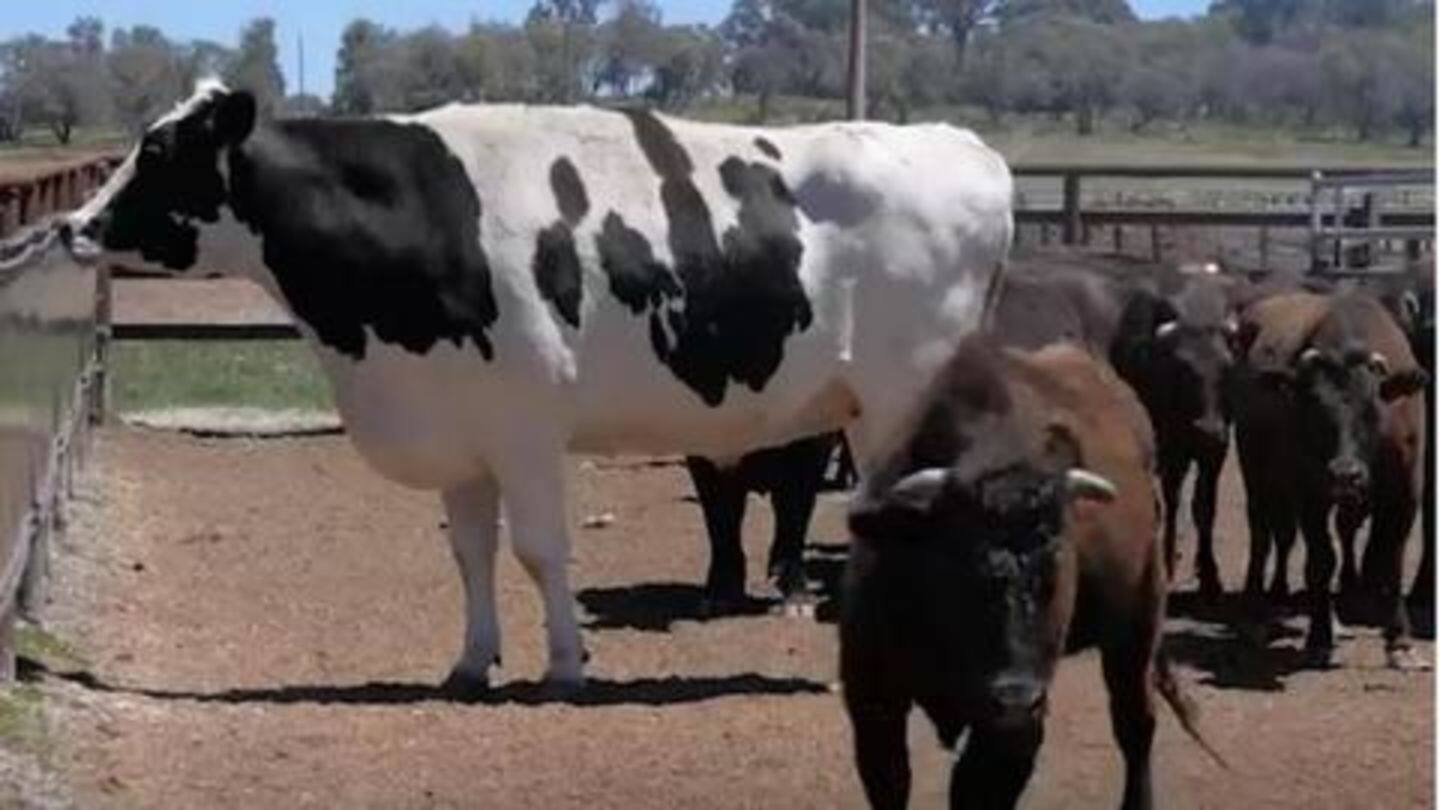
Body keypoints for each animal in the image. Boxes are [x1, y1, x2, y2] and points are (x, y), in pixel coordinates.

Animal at [58, 80, 1014, 692]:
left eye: (159, 149)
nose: (73, 225)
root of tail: (964, 147)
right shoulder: (460, 427)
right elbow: (471, 555)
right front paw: (470, 663)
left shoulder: (525, 425)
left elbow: (540, 552)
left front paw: (562, 667)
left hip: (899, 401)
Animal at [841, 336, 1220, 810]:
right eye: (960, 569)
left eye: (1055, 574)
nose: (1016, 699)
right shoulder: (872, 699)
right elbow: (890, 780)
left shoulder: (1013, 732)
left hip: (1137, 623)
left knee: (1136, 724)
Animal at [1233, 290, 1427, 668]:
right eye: (1314, 408)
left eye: (1372, 410)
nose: (1345, 474)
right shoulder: (1310, 493)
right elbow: (1321, 560)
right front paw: (1319, 638)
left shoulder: (1405, 492)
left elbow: (1392, 560)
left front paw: (1400, 640)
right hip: (1255, 472)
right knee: (1261, 535)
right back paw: (1252, 616)